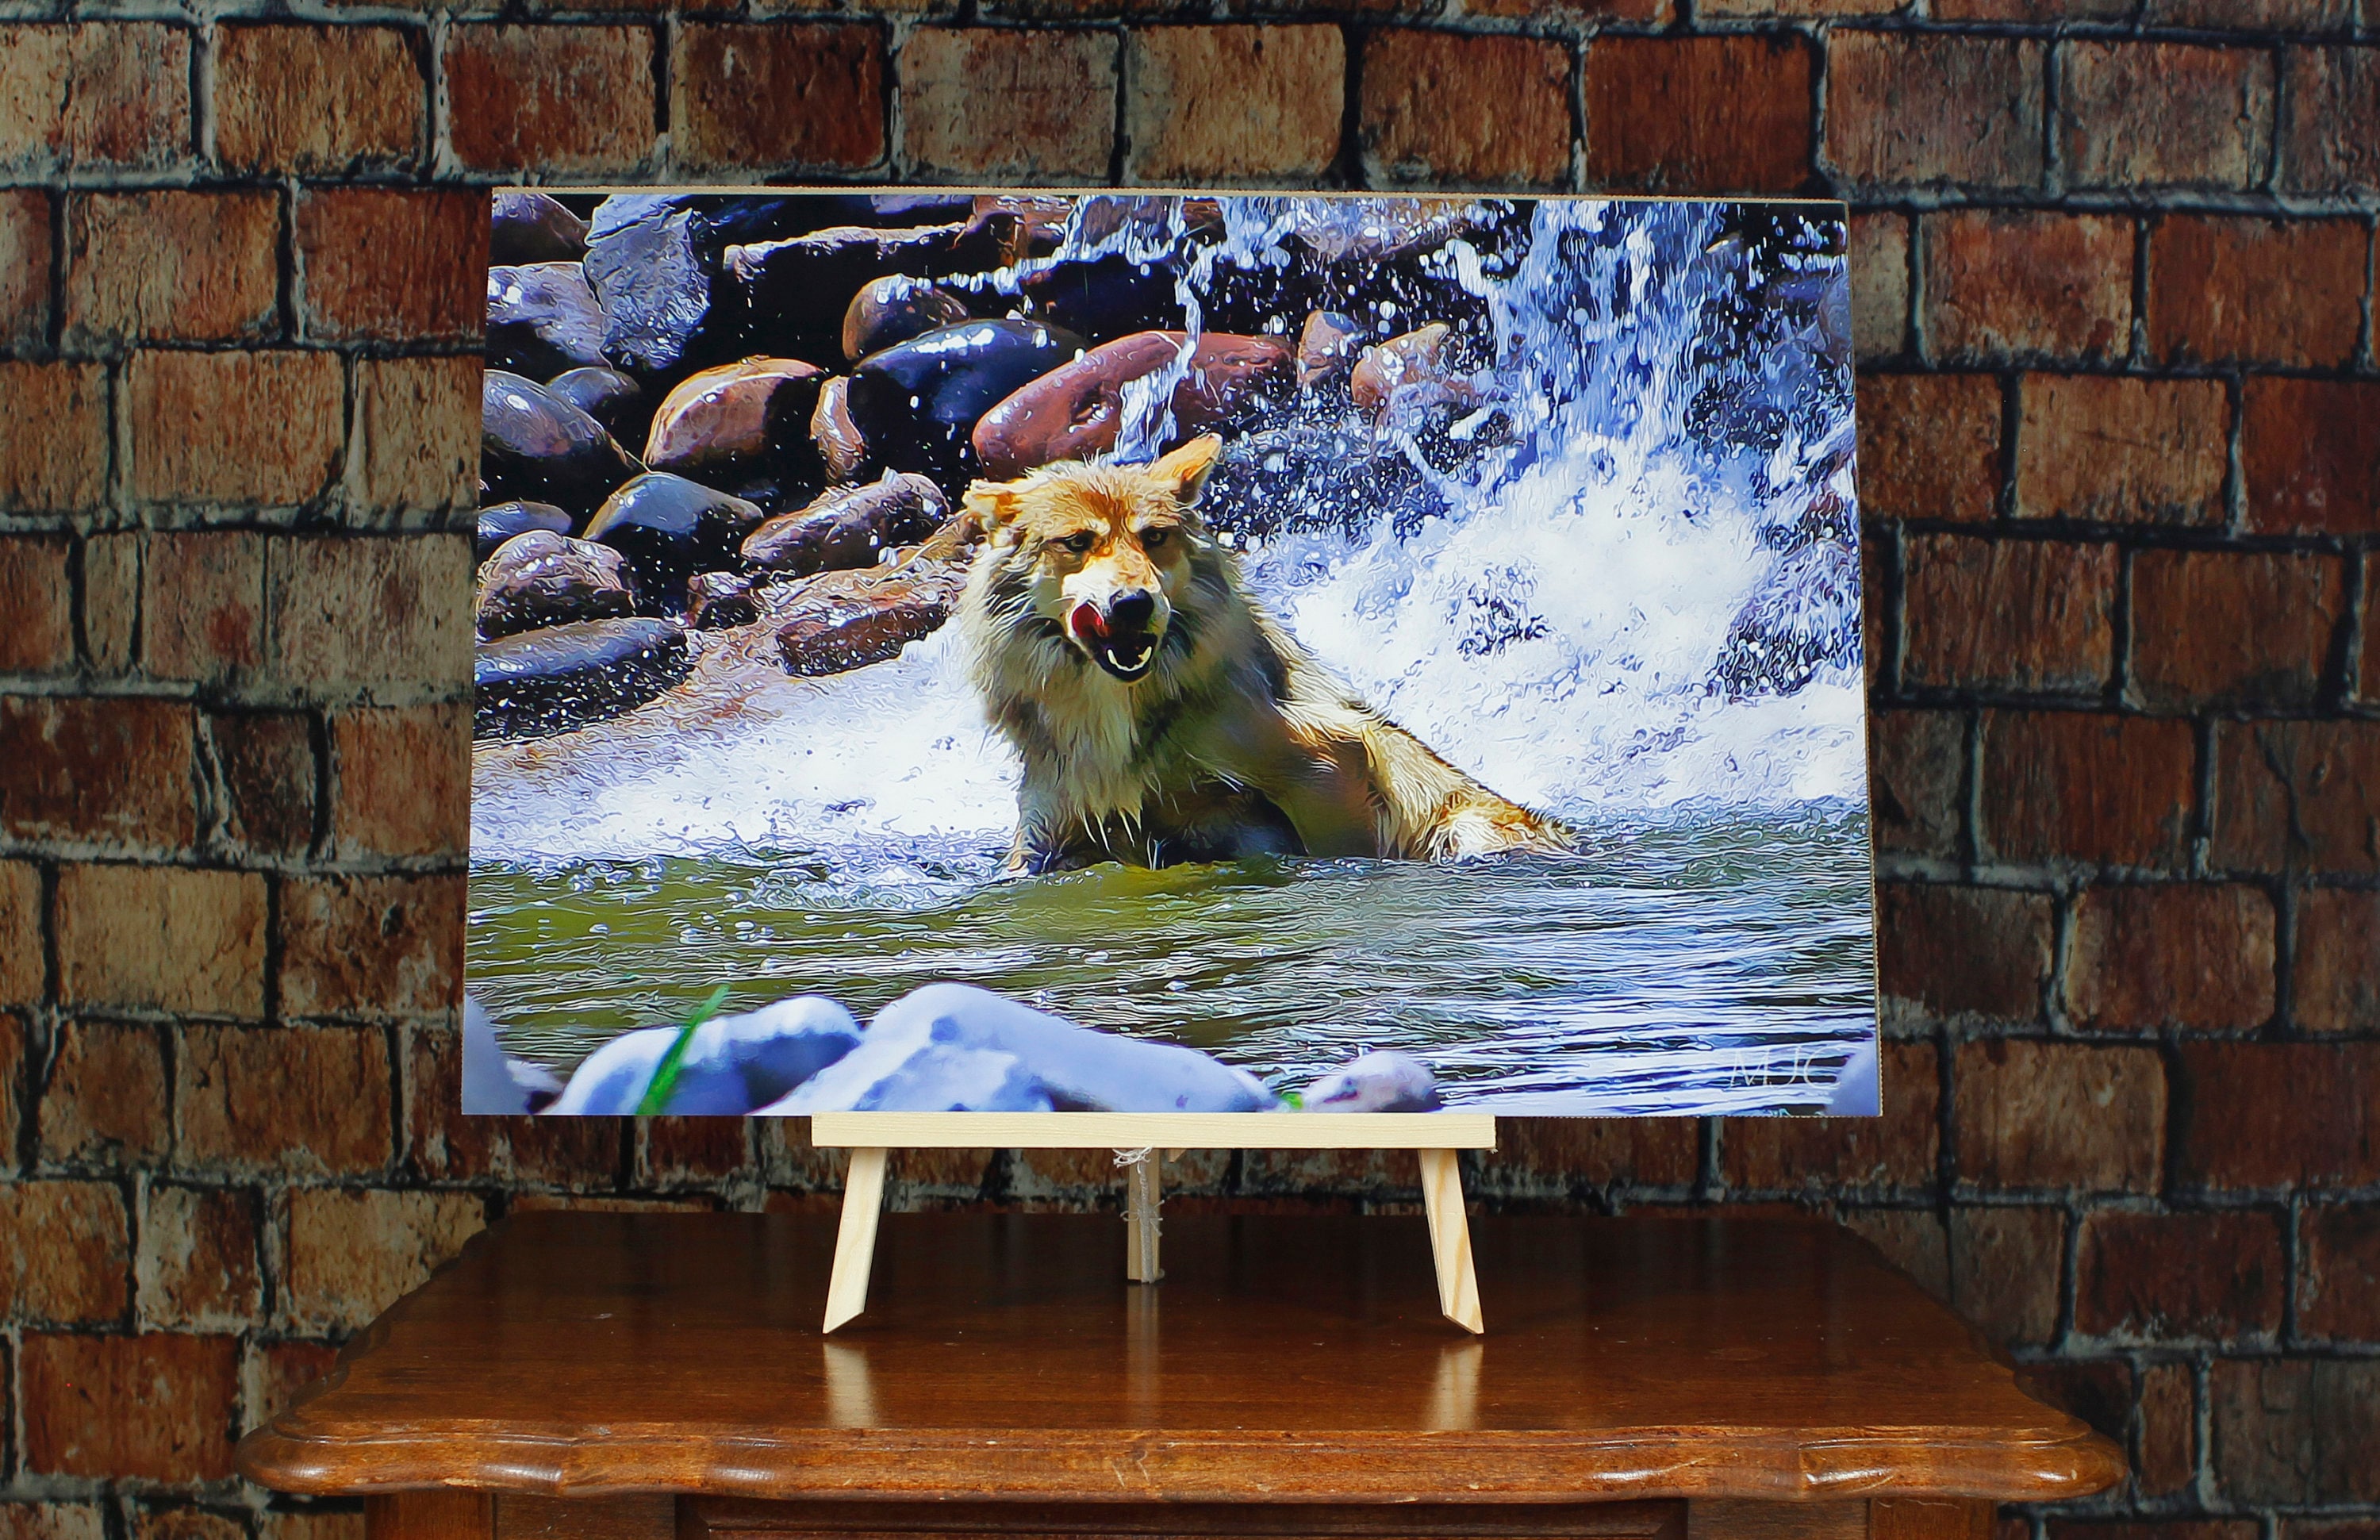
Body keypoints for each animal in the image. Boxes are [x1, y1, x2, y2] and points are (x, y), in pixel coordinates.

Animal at [955, 434, 1573, 874]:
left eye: (1154, 538)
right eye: (1077, 543)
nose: (1133, 603)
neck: (1120, 720)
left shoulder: (1332, 760)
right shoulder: (1051, 830)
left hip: (1468, 825)